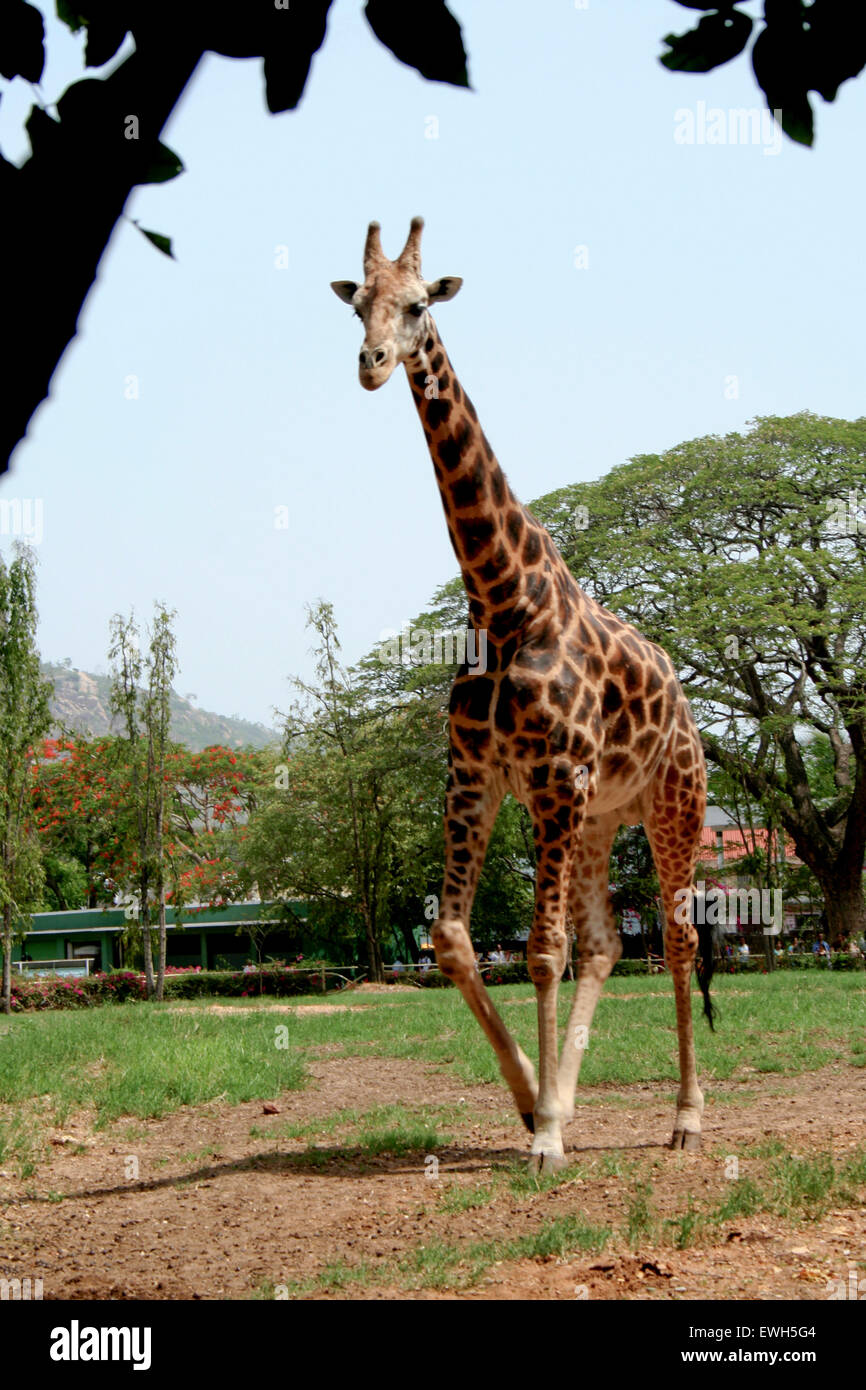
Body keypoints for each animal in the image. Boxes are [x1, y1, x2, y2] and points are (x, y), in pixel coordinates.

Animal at [331, 218, 713, 1171]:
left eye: (418, 304)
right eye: (358, 304)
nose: (373, 362)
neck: (502, 600)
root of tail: (688, 708)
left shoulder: (551, 776)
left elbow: (540, 950)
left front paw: (543, 1136)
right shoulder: (480, 775)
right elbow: (453, 939)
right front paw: (532, 1102)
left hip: (671, 805)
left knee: (677, 938)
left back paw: (687, 1117)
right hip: (600, 818)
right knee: (610, 943)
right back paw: (568, 1099)